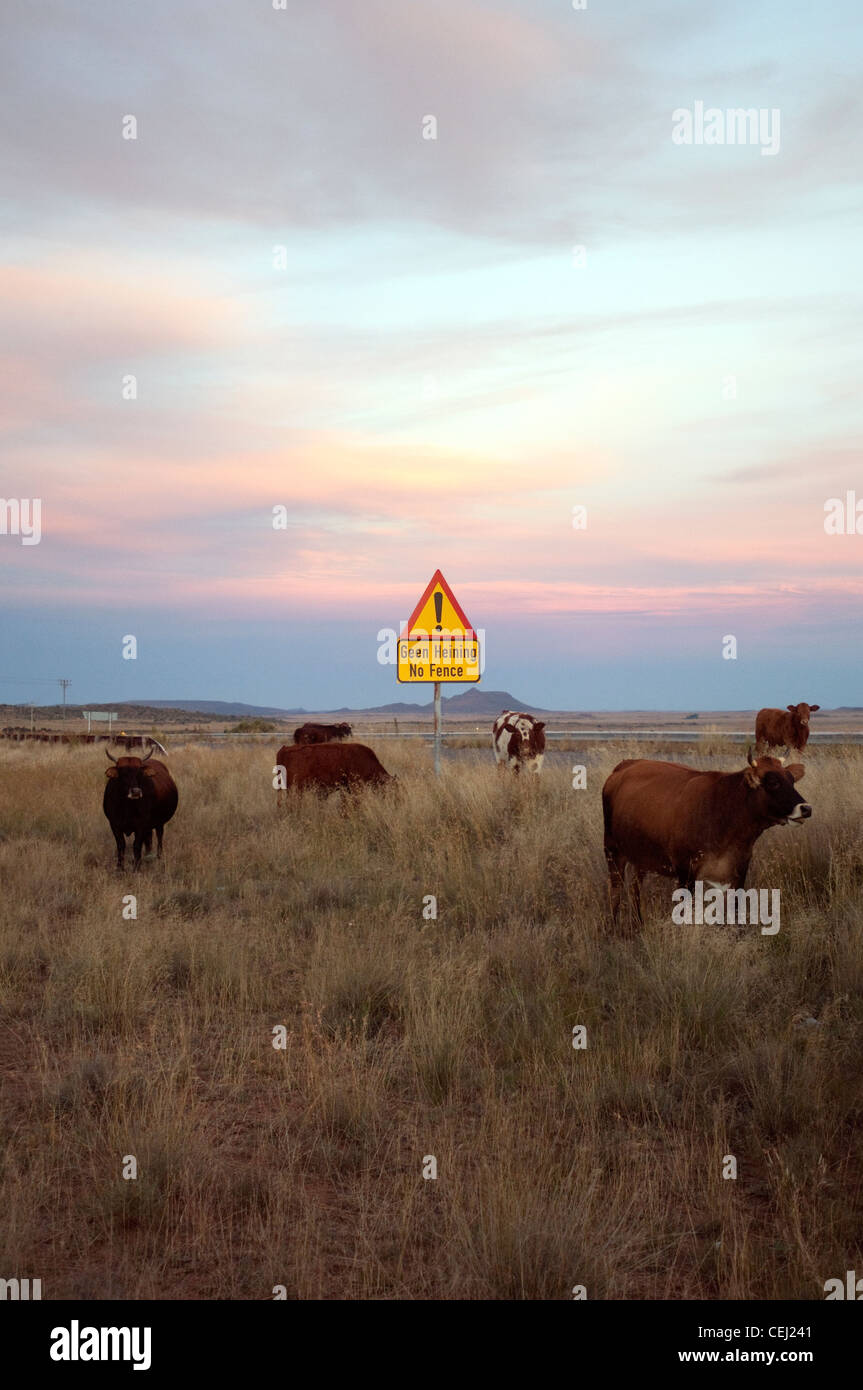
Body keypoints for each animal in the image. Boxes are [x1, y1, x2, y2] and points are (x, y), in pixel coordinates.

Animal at [601, 750, 811, 928]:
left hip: (641, 858)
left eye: (792, 780)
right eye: (773, 782)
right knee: (615, 890)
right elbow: (686, 911)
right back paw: (613, 928)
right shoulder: (685, 872)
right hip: (612, 851)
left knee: (634, 889)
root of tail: (625, 765)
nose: (806, 808)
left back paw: (640, 924)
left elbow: (735, 910)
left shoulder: (739, 870)